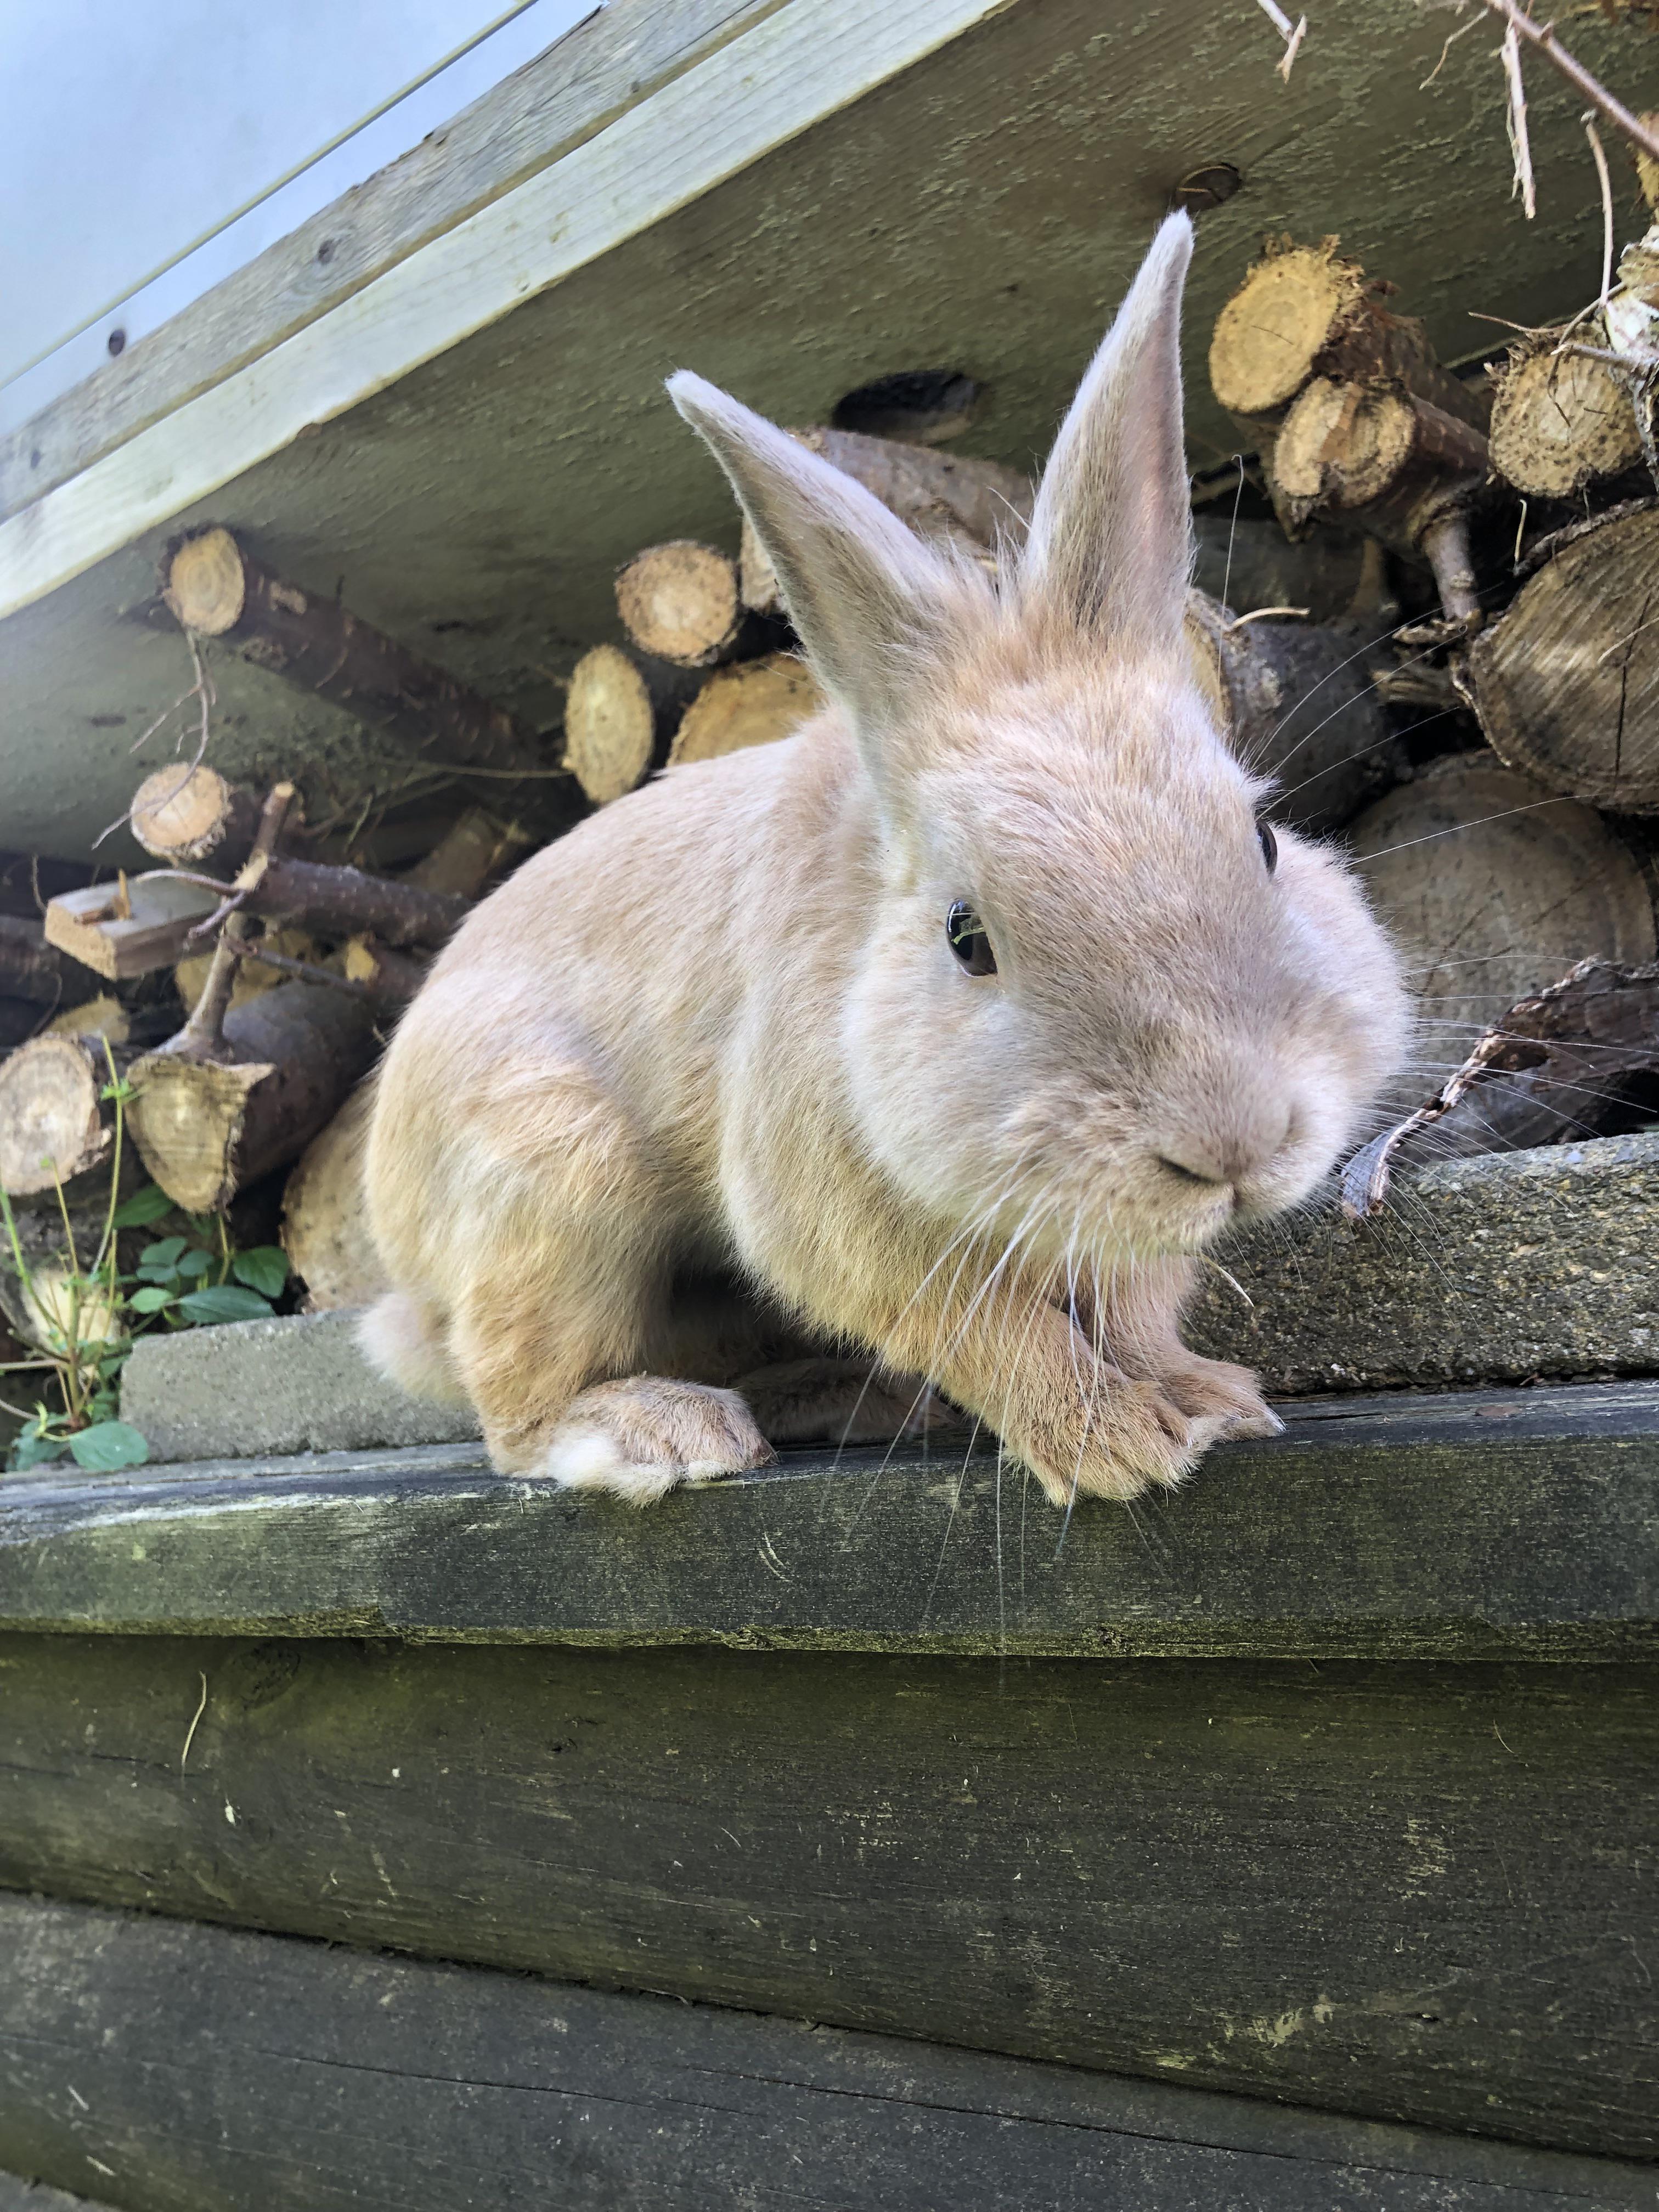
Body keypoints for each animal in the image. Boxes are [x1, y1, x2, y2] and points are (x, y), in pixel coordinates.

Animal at [360, 211, 1409, 1508]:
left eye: (1260, 838)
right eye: (968, 938)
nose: (1234, 1143)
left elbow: (1132, 1307)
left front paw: (1204, 1401)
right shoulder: (844, 1221)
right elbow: (999, 1337)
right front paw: (1117, 1448)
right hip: (551, 1172)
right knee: (517, 1406)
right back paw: (658, 1433)